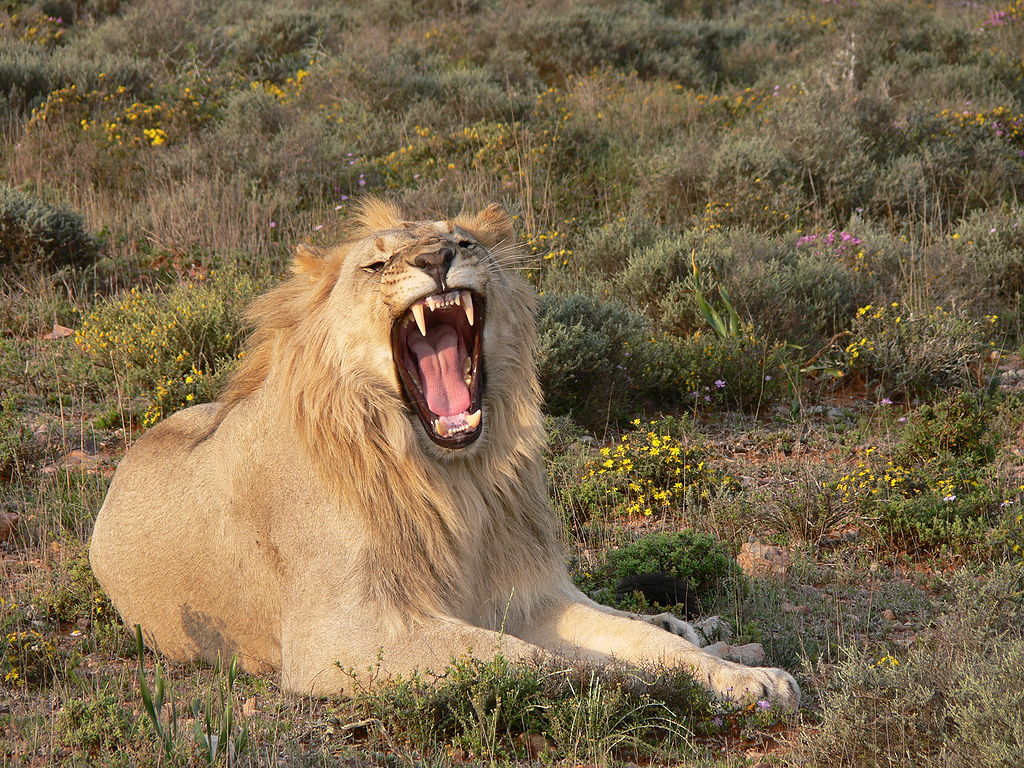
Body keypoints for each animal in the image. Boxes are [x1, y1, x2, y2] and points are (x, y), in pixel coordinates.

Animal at [89, 199, 799, 707]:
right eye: (376, 265)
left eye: (463, 241)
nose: (437, 259)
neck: (458, 480)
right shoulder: (340, 638)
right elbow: (534, 659)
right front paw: (647, 685)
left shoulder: (529, 597)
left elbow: (637, 640)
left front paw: (746, 679)